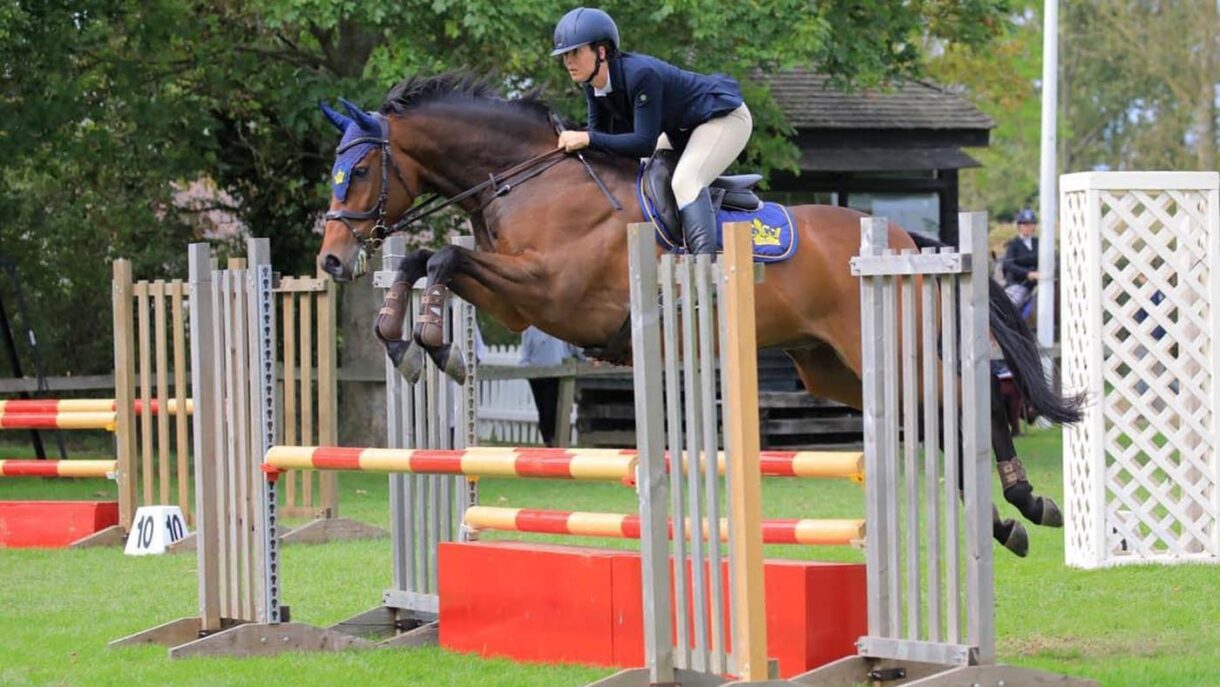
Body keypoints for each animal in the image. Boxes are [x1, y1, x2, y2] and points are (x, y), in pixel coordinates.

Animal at [315, 73, 1083, 557]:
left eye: (359, 172)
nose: (331, 260)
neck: (527, 179)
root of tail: (902, 235)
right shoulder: (521, 296)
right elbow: (427, 260)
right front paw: (402, 340)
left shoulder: (554, 296)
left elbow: (443, 256)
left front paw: (430, 342)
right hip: (832, 367)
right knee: (932, 416)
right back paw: (1004, 524)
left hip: (886, 348)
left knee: (972, 395)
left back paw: (1028, 503)